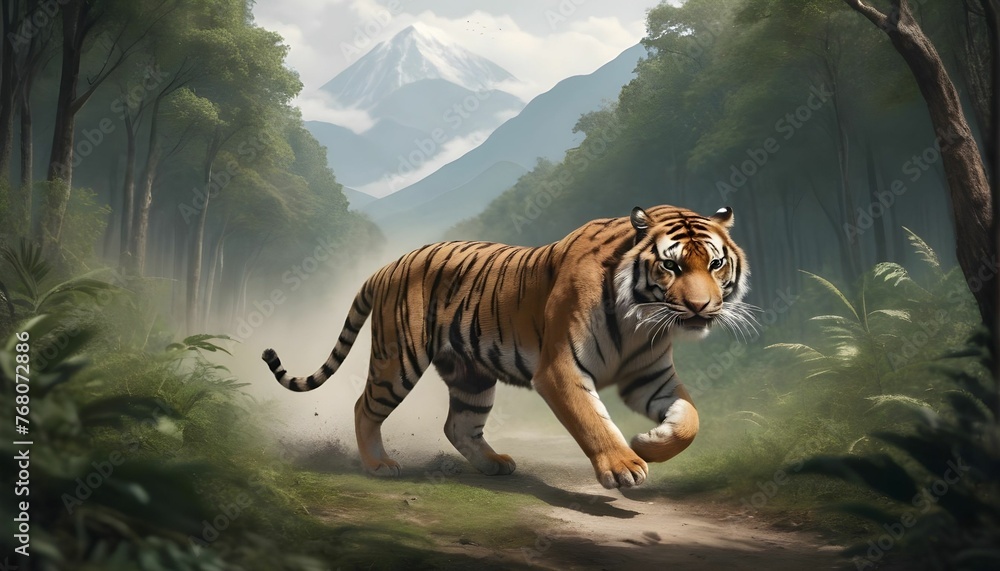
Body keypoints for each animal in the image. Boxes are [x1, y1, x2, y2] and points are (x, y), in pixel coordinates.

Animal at [262, 205, 752, 489]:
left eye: (715, 264)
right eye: (671, 266)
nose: (701, 307)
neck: (642, 318)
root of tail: (388, 266)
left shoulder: (649, 377)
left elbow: (690, 419)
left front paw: (651, 442)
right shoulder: (560, 370)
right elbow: (592, 420)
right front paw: (623, 466)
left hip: (471, 375)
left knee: (459, 425)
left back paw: (494, 463)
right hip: (397, 360)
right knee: (365, 406)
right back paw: (379, 465)